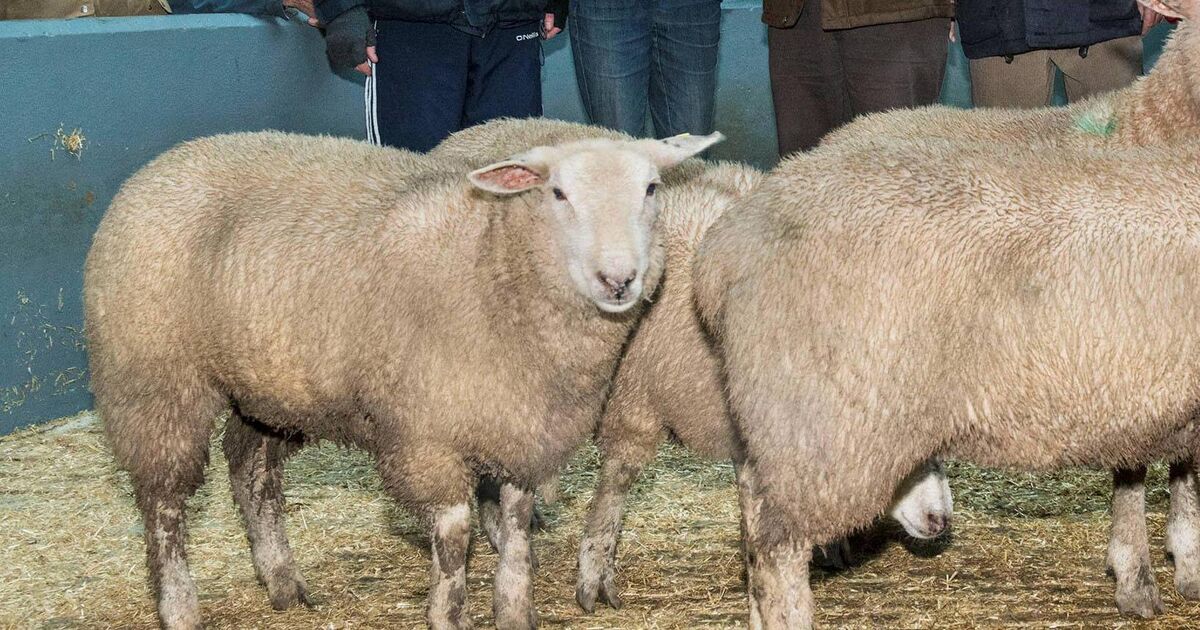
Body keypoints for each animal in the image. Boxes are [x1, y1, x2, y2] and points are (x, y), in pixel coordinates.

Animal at [83, 129, 722, 630]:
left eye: (651, 189)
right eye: (558, 192)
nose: (619, 279)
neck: (492, 260)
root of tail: (158, 166)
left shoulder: (522, 428)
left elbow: (516, 534)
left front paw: (515, 611)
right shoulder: (425, 438)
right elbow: (456, 539)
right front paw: (448, 613)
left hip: (269, 388)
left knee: (250, 465)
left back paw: (281, 581)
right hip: (154, 382)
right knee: (164, 505)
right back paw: (179, 608)